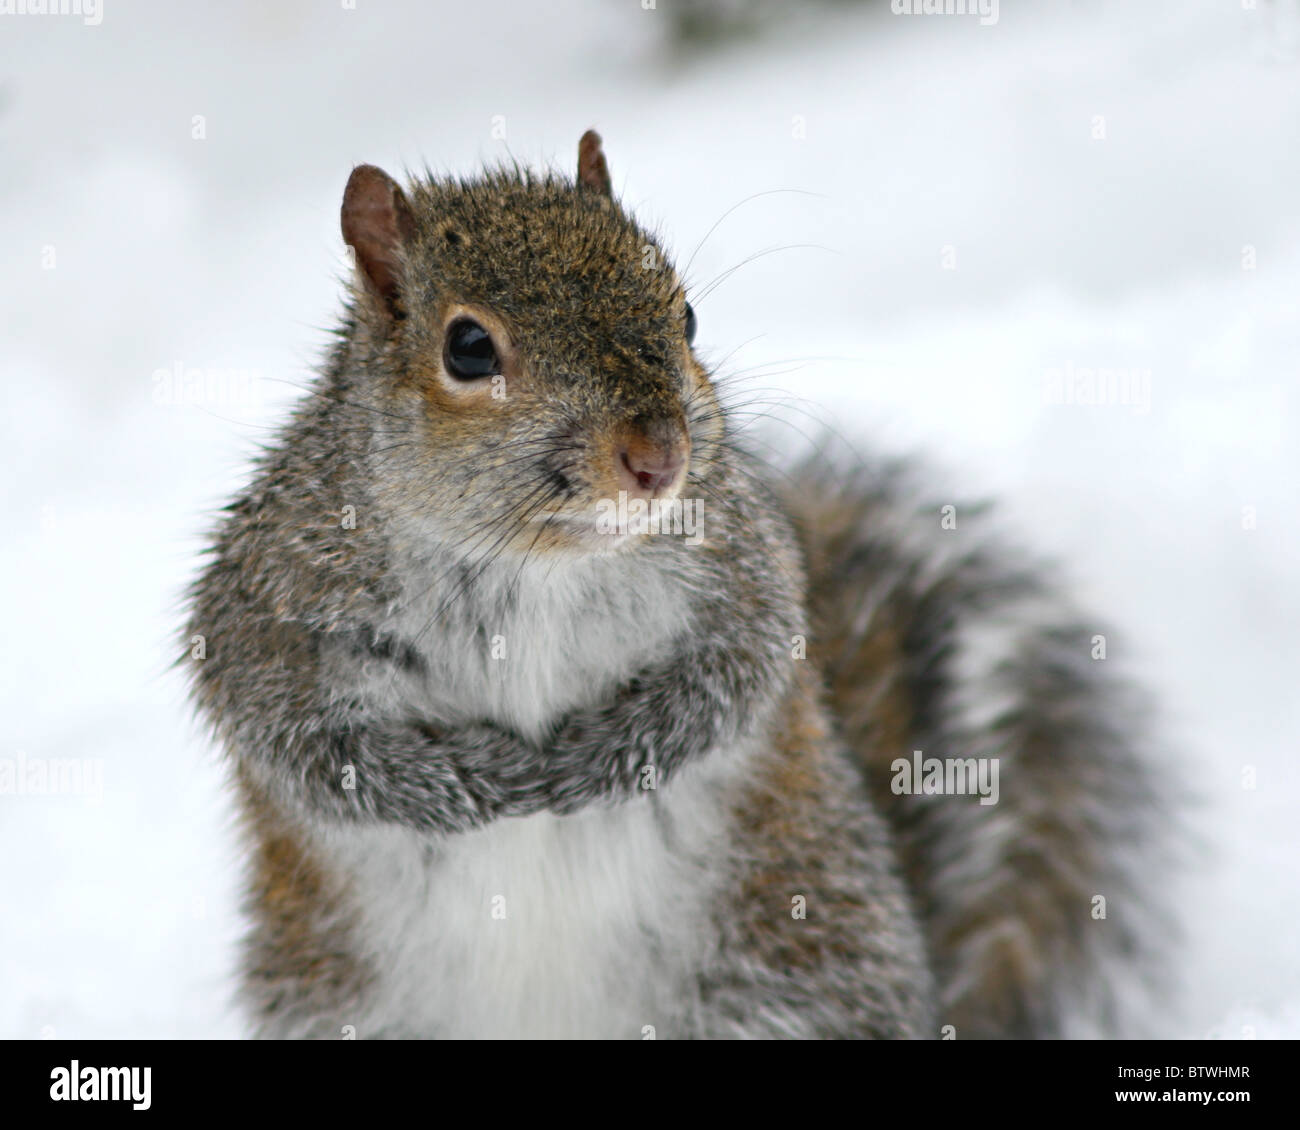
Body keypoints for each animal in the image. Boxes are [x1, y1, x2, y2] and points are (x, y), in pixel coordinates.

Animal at [185, 131, 1170, 1039]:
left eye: (686, 315)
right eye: (467, 348)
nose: (659, 457)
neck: (539, 562)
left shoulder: (744, 569)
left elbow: (737, 676)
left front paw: (606, 758)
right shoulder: (272, 606)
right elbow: (307, 747)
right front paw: (469, 782)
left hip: (793, 974)